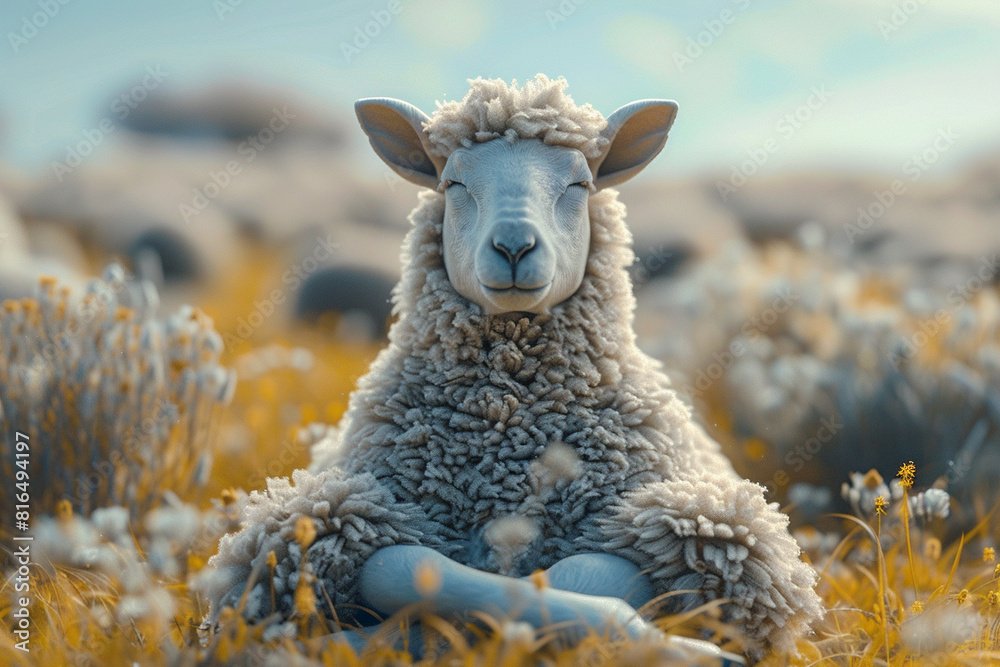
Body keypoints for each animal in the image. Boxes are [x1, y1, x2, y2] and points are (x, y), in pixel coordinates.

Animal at [203, 75, 822, 660]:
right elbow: (403, 567)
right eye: (453, 184)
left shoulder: (687, 522)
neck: (506, 415)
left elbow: (586, 574)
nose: (514, 248)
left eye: (579, 184)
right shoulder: (341, 508)